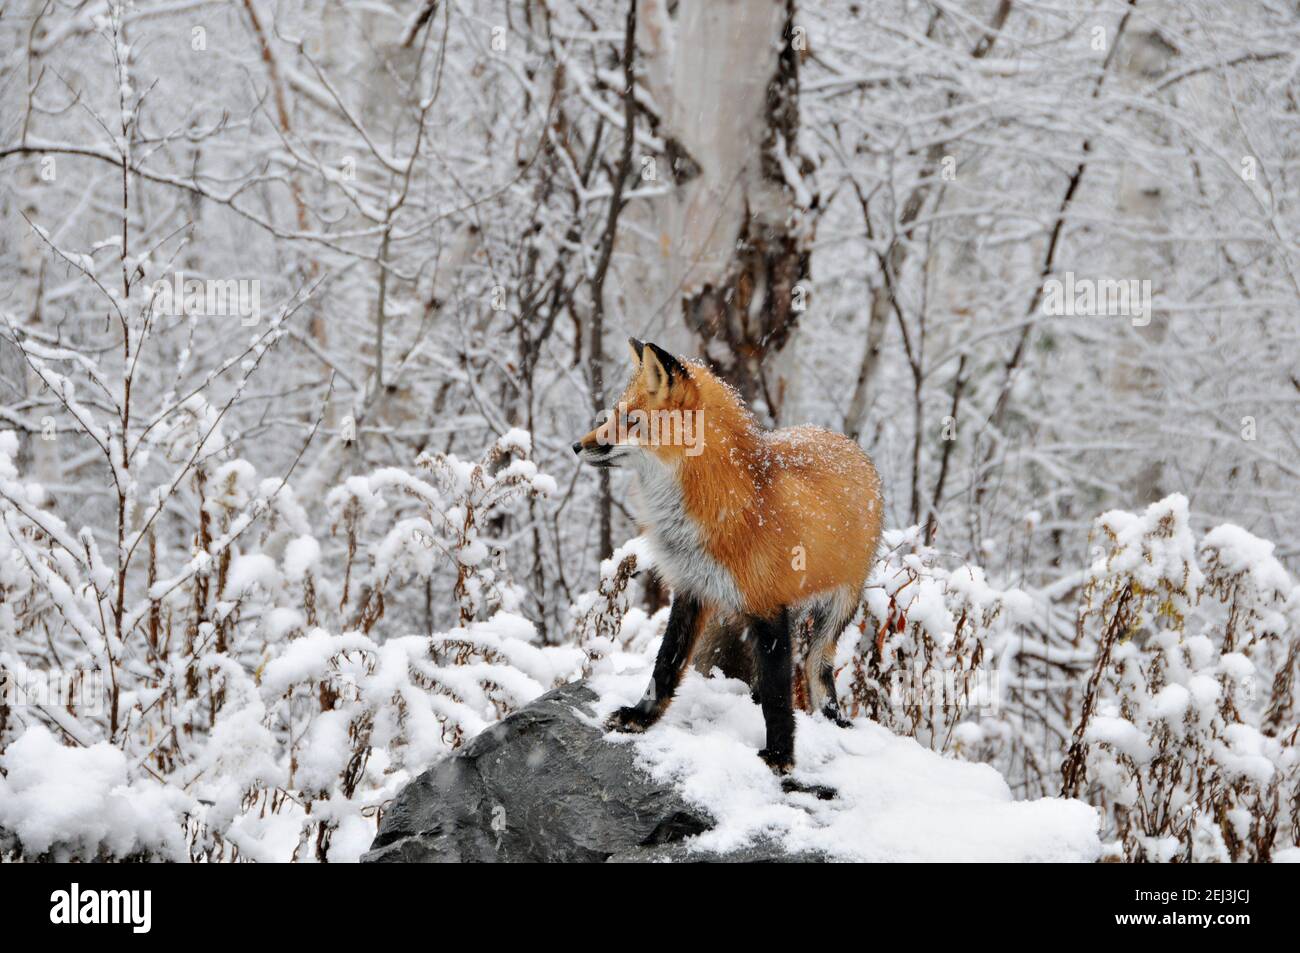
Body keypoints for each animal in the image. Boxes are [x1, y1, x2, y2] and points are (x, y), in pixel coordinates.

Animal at [573, 338, 884, 774]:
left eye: (631, 421)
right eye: (614, 416)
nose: (577, 446)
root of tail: (845, 441)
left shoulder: (769, 606)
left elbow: (776, 695)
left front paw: (780, 757)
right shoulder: (691, 588)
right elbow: (665, 664)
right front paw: (641, 717)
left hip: (838, 606)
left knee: (815, 668)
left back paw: (831, 721)